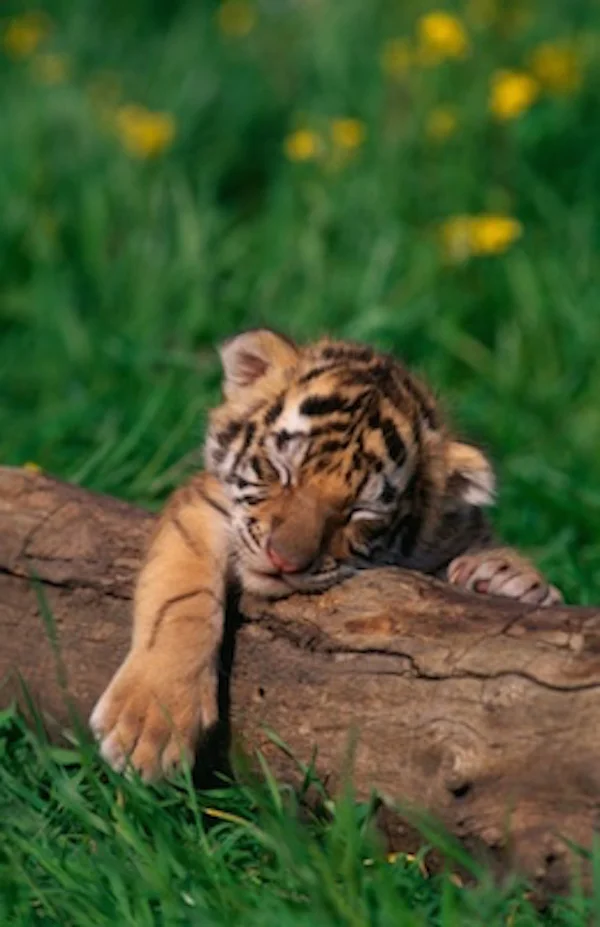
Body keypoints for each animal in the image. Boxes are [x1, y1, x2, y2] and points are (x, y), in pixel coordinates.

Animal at [91, 330, 562, 780]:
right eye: (281, 470)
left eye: (362, 512)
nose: (284, 560)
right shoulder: (204, 507)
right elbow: (180, 599)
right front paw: (148, 726)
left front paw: (507, 576)